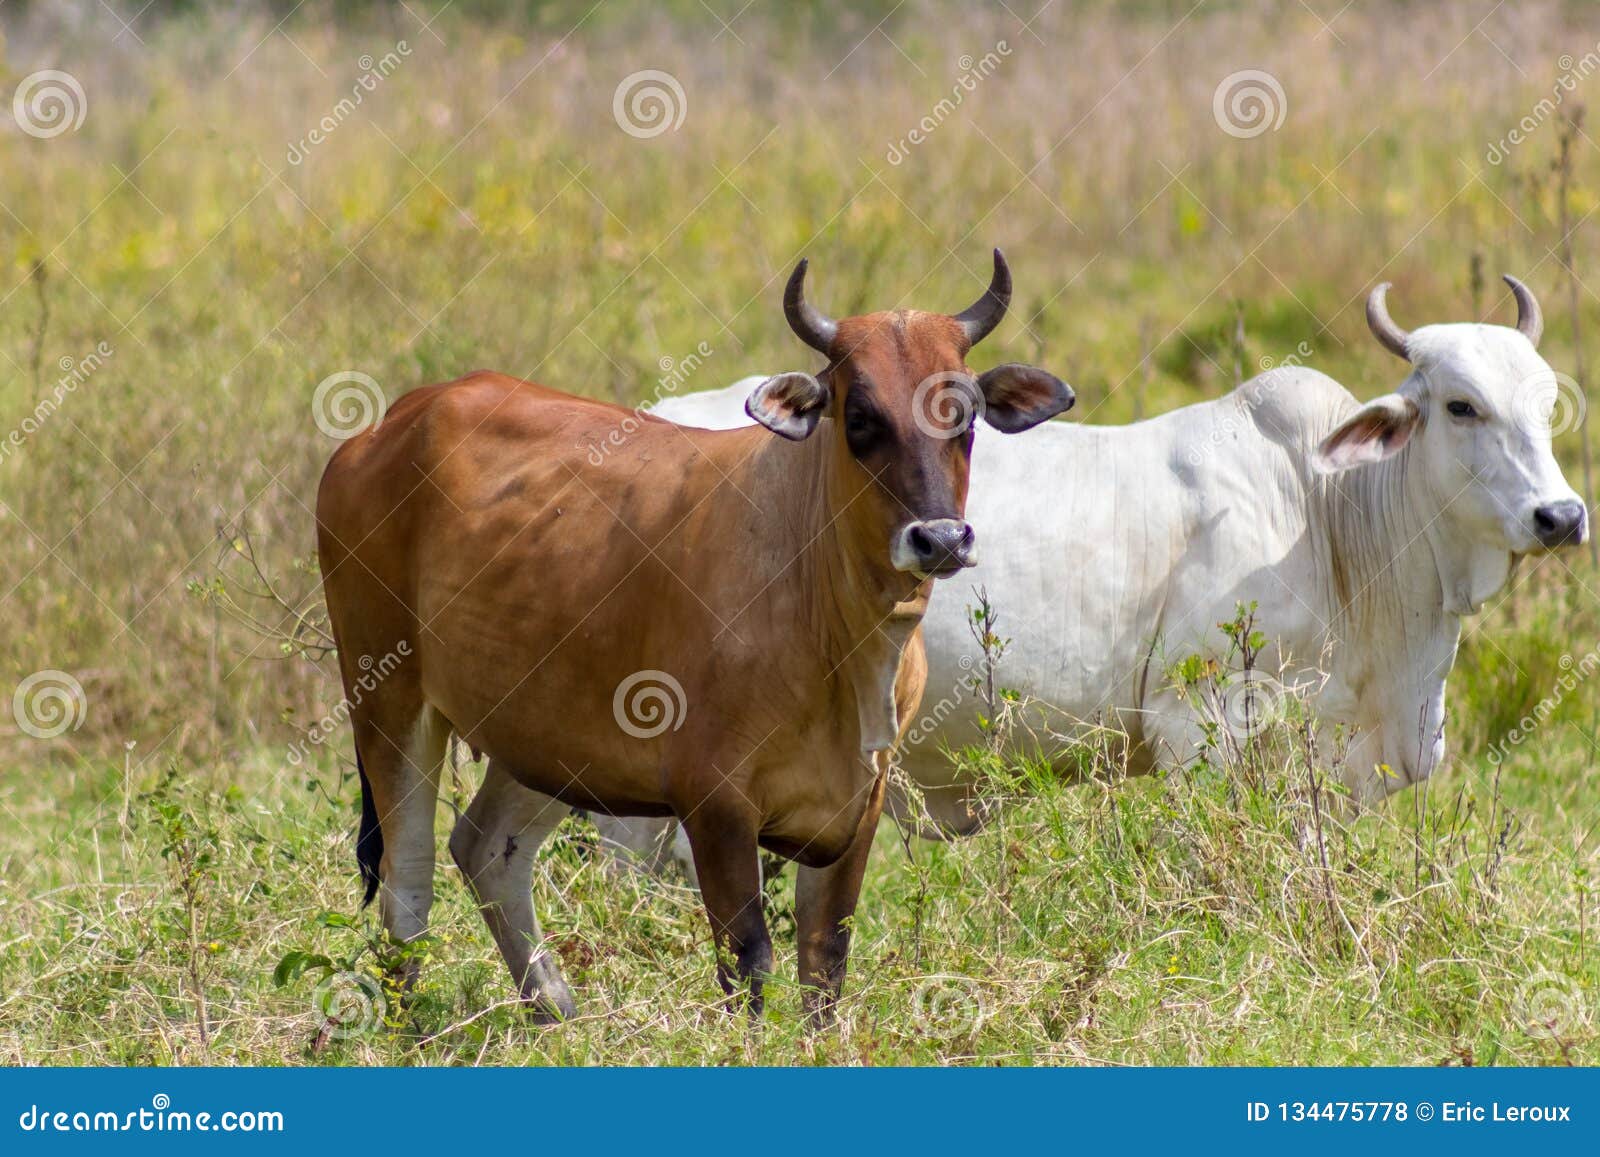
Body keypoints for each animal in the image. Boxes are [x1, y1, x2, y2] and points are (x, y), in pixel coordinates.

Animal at [314, 250, 1075, 1023]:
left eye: (966, 415)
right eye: (860, 415)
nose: (940, 539)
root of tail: (394, 423)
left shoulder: (858, 806)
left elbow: (824, 964)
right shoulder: (715, 803)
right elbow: (748, 961)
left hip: (542, 741)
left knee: (486, 848)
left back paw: (555, 1010)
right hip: (389, 703)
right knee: (408, 884)